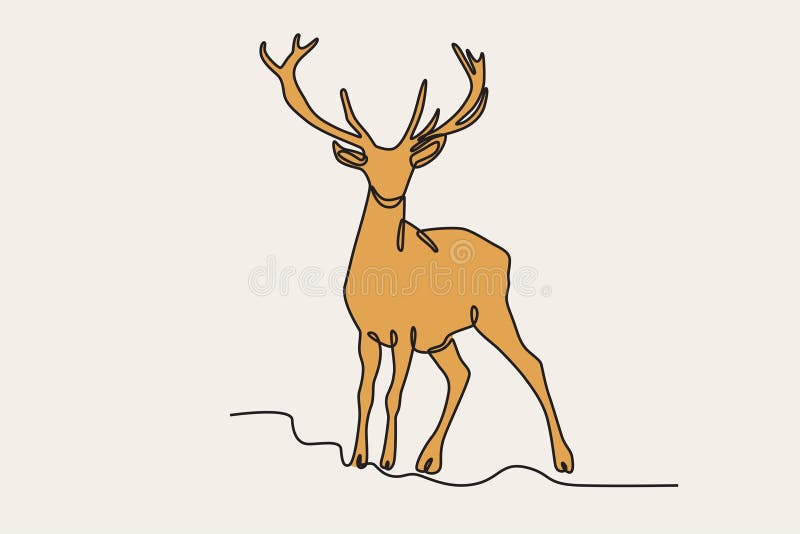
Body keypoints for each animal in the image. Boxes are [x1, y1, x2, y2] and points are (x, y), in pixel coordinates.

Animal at [259, 35, 574, 475]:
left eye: (410, 164)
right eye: (368, 165)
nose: (391, 193)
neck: (383, 276)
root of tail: (504, 254)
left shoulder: (405, 333)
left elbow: (394, 394)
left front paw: (388, 459)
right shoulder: (366, 333)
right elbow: (364, 392)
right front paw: (358, 457)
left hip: (492, 311)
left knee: (532, 363)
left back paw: (563, 458)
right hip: (441, 338)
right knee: (462, 373)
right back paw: (429, 458)